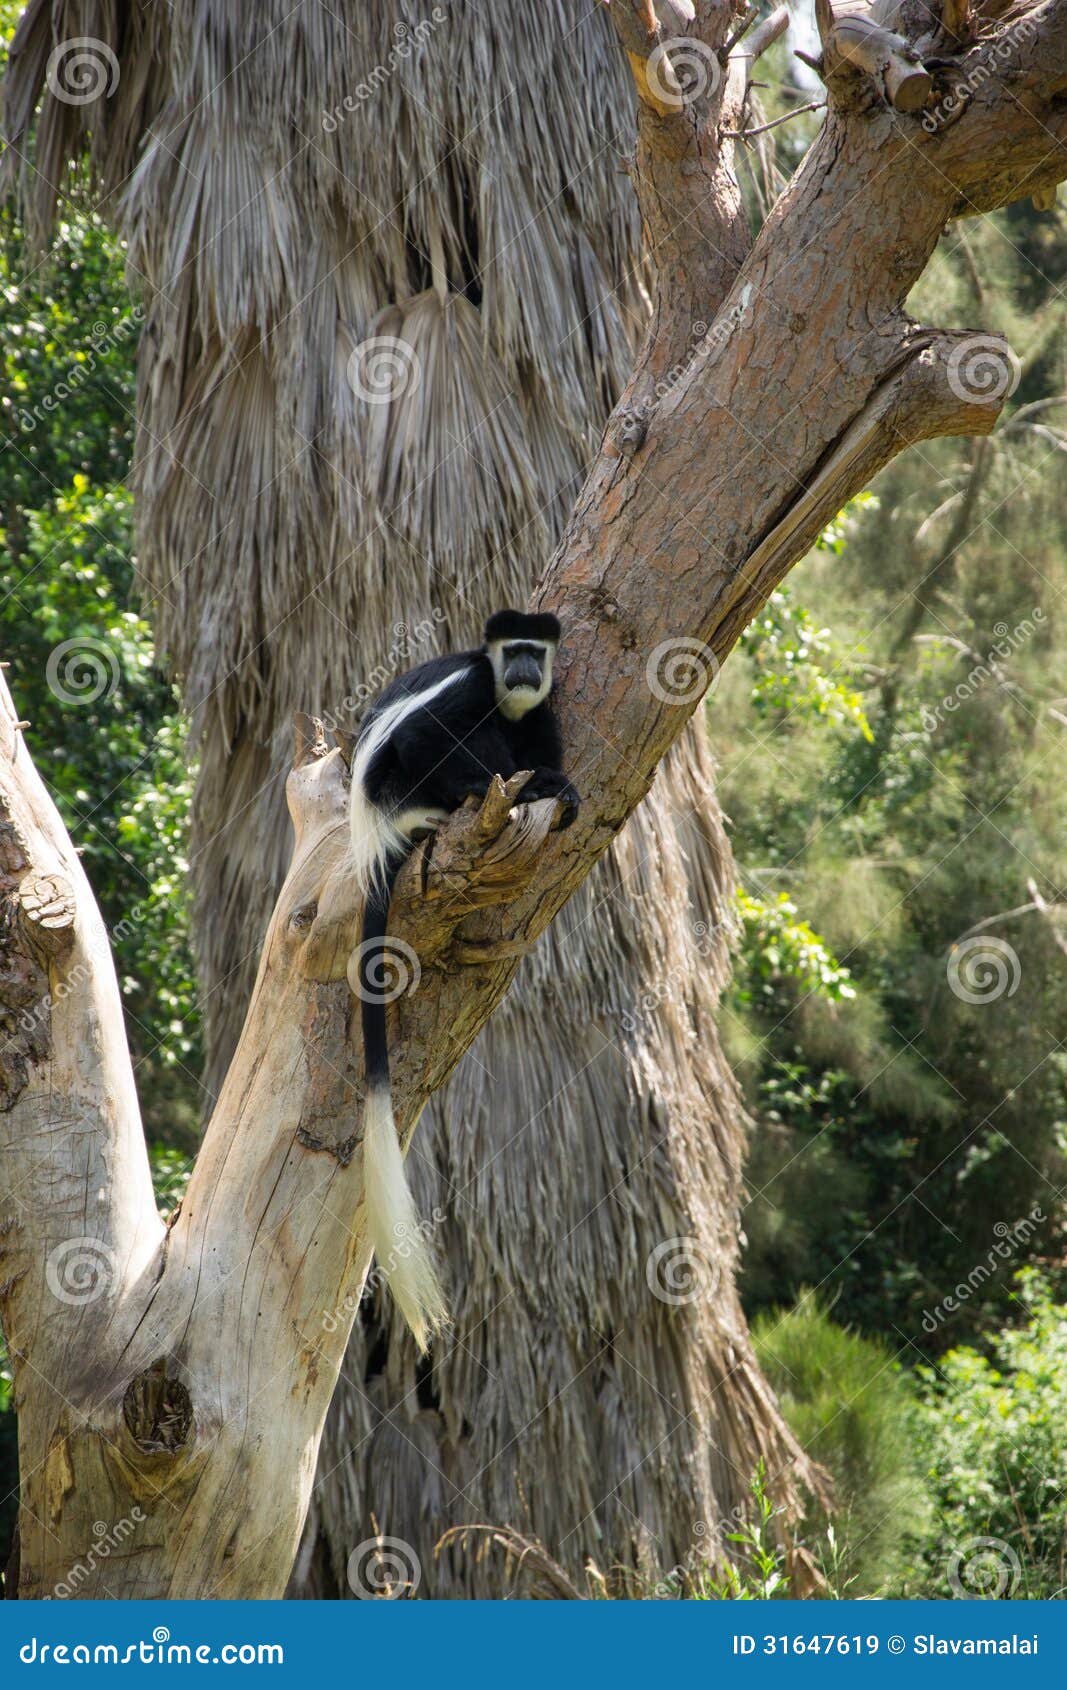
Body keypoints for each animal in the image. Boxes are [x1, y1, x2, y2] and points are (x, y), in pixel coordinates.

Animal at [346, 610, 579, 1349]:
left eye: (537, 652)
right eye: (513, 651)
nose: (525, 671)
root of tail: (374, 832)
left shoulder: (543, 709)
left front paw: (555, 786)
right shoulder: (474, 684)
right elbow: (426, 733)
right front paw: (517, 787)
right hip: (404, 790)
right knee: (440, 747)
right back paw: (478, 797)